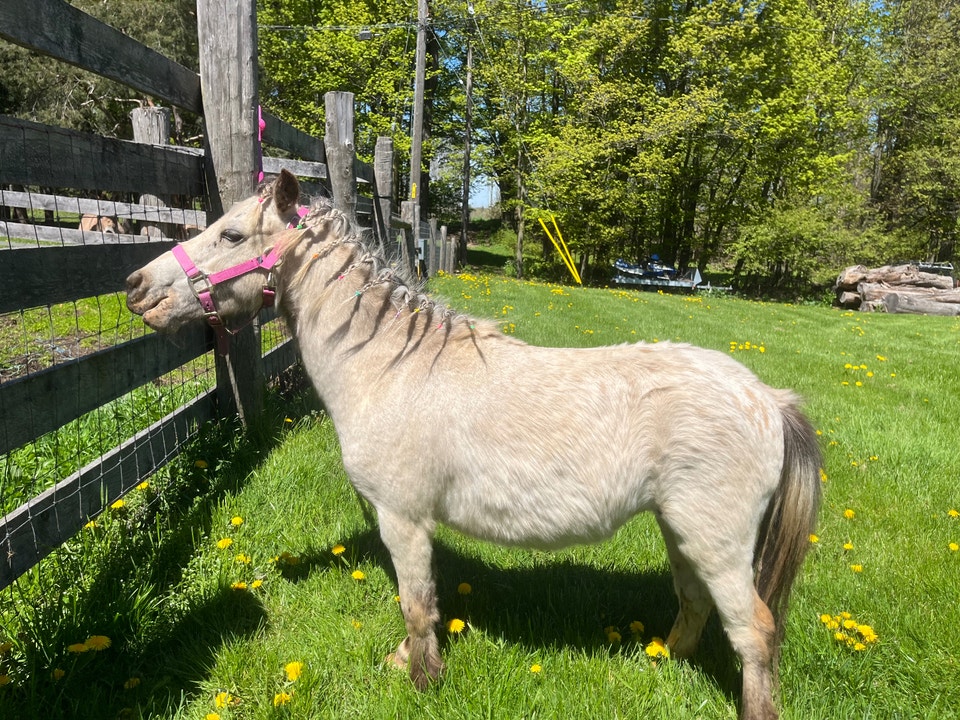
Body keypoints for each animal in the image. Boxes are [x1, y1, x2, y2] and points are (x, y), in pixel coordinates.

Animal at [125, 170, 821, 720]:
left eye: (231, 236)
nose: (137, 287)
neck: (388, 368)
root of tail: (768, 398)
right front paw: (403, 662)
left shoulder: (403, 519)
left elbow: (416, 604)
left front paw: (421, 678)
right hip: (682, 531)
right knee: (695, 604)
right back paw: (659, 663)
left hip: (716, 542)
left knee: (754, 632)